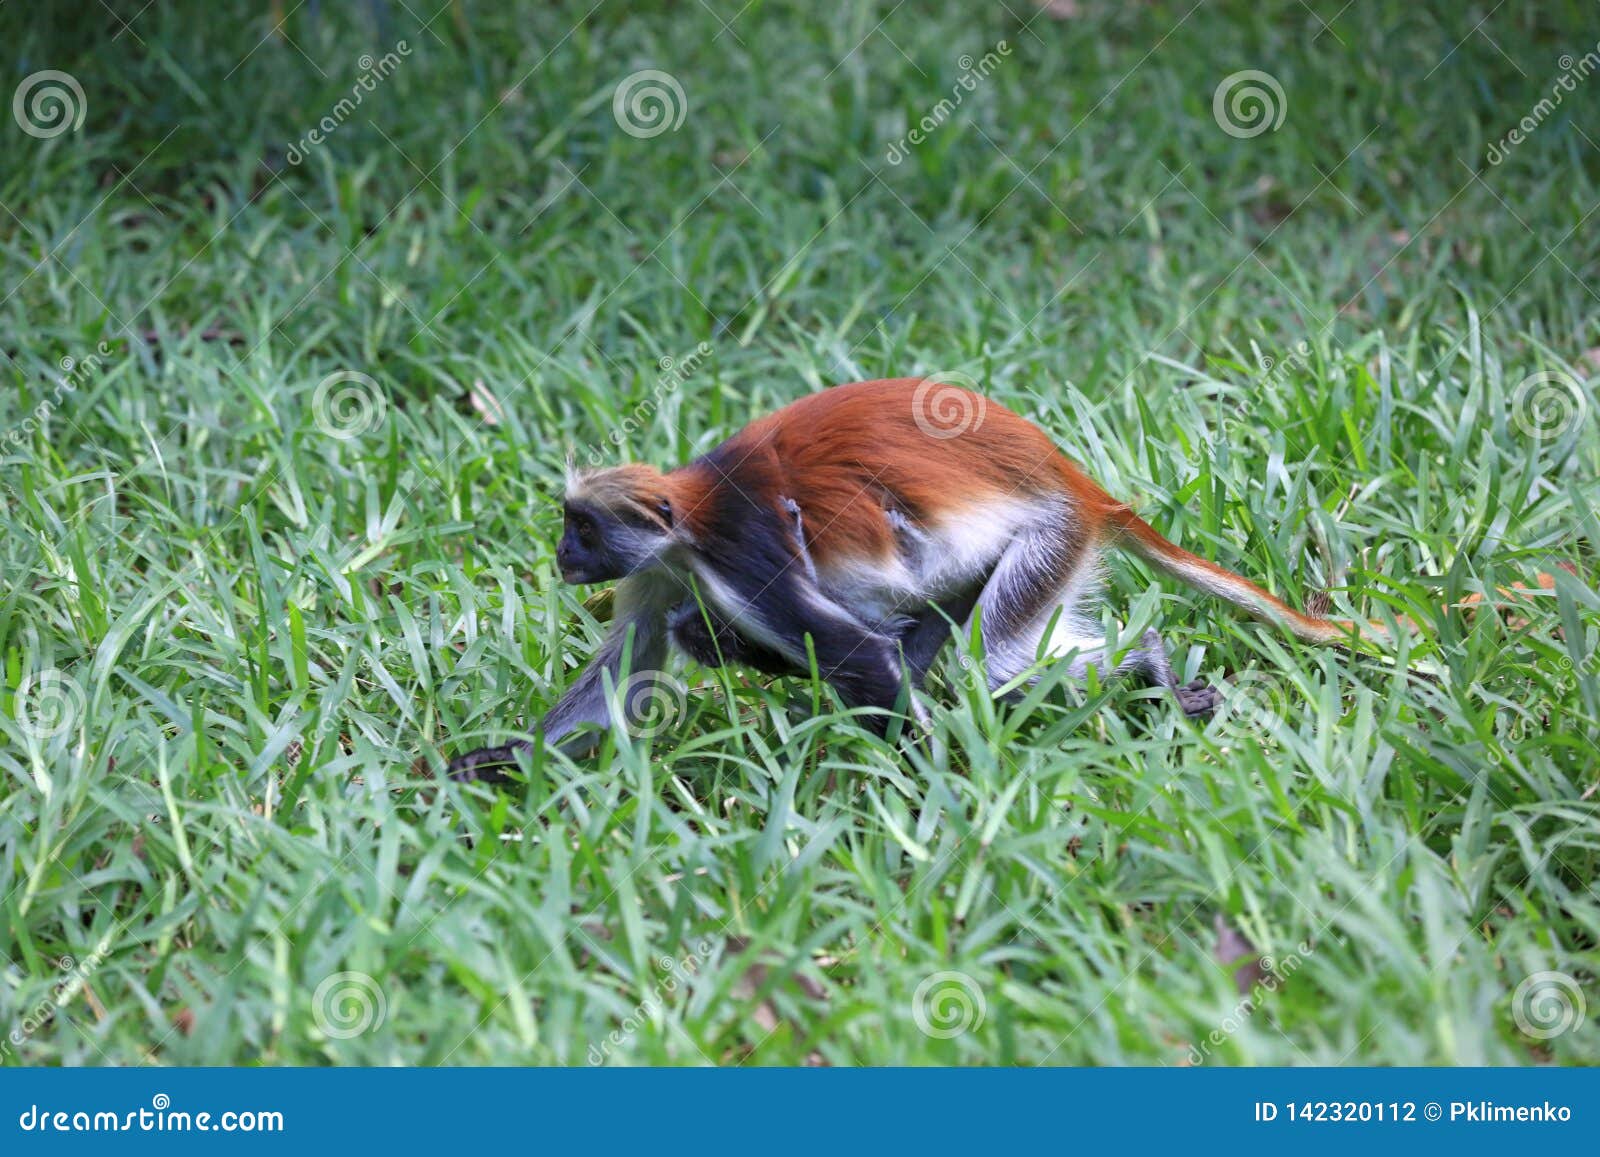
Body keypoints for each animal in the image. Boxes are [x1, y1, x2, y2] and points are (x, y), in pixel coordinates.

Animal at [445, 377, 1375, 782]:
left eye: (582, 527)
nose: (561, 557)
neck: (691, 513)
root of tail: (1071, 480)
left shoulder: (738, 551)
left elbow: (859, 655)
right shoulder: (662, 567)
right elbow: (630, 665)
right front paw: (502, 759)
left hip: (1050, 537)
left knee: (990, 659)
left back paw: (1145, 657)